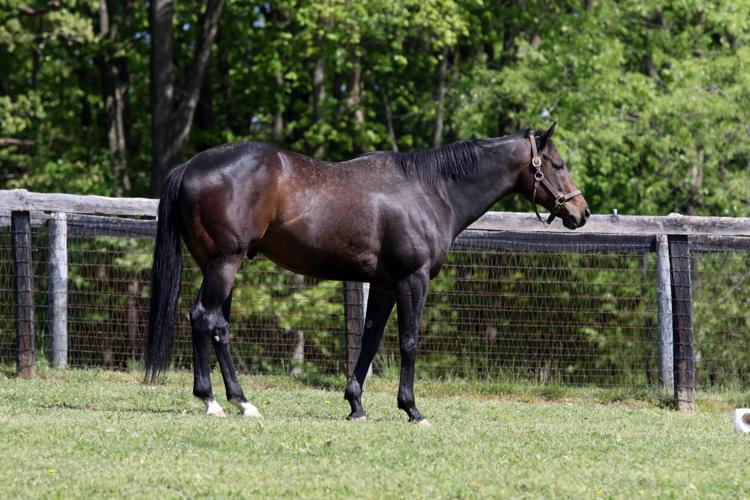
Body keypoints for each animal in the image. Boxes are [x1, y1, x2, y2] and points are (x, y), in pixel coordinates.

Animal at [145, 123, 589, 425]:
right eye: (559, 164)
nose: (581, 212)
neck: (429, 190)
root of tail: (191, 165)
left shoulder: (384, 284)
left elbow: (370, 340)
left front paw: (356, 405)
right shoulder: (413, 279)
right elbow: (408, 341)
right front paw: (412, 409)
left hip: (218, 264)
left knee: (218, 326)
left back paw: (241, 401)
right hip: (225, 262)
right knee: (203, 318)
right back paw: (212, 402)